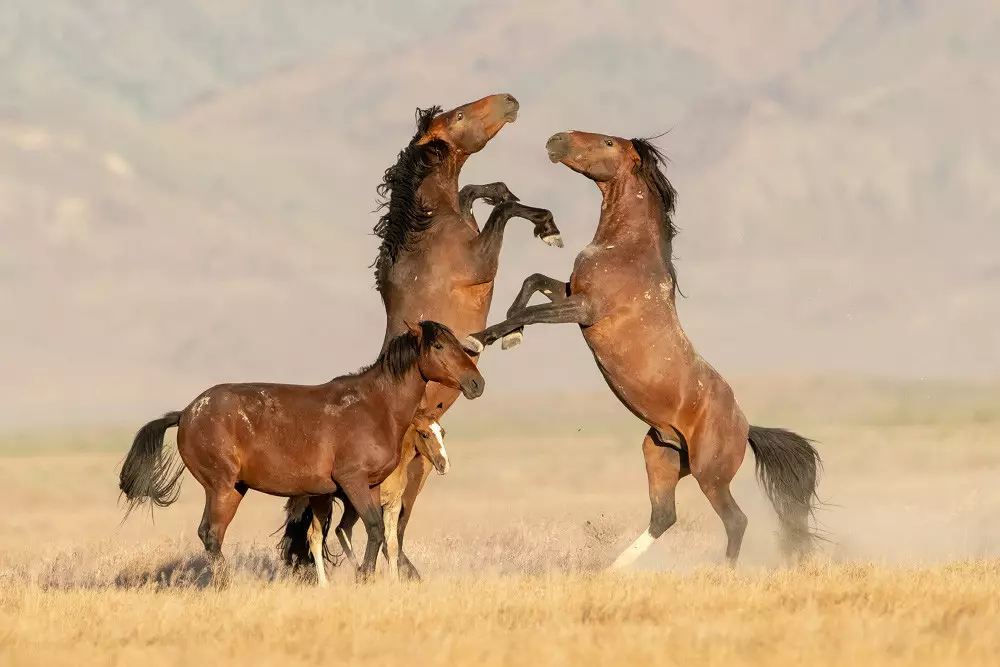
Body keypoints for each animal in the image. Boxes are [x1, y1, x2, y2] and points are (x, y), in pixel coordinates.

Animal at [119, 320, 486, 584]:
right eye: (438, 345)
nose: (476, 383)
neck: (375, 406)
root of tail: (186, 413)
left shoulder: (371, 486)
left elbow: (378, 533)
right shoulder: (352, 482)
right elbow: (373, 528)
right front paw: (364, 579)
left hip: (235, 489)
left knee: (214, 534)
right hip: (220, 486)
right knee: (210, 533)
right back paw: (225, 586)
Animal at [282, 94, 564, 580]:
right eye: (460, 115)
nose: (509, 100)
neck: (430, 228)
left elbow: (478, 195)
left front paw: (500, 190)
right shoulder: (481, 262)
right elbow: (504, 214)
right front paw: (546, 226)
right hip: (410, 473)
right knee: (378, 526)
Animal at [472, 132, 824, 568]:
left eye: (608, 142)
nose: (556, 139)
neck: (625, 249)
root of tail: (745, 427)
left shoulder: (585, 308)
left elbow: (534, 308)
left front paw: (483, 337)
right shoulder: (573, 293)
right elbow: (532, 281)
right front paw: (512, 334)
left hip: (711, 475)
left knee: (736, 520)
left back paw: (722, 571)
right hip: (661, 455)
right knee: (664, 516)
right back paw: (613, 570)